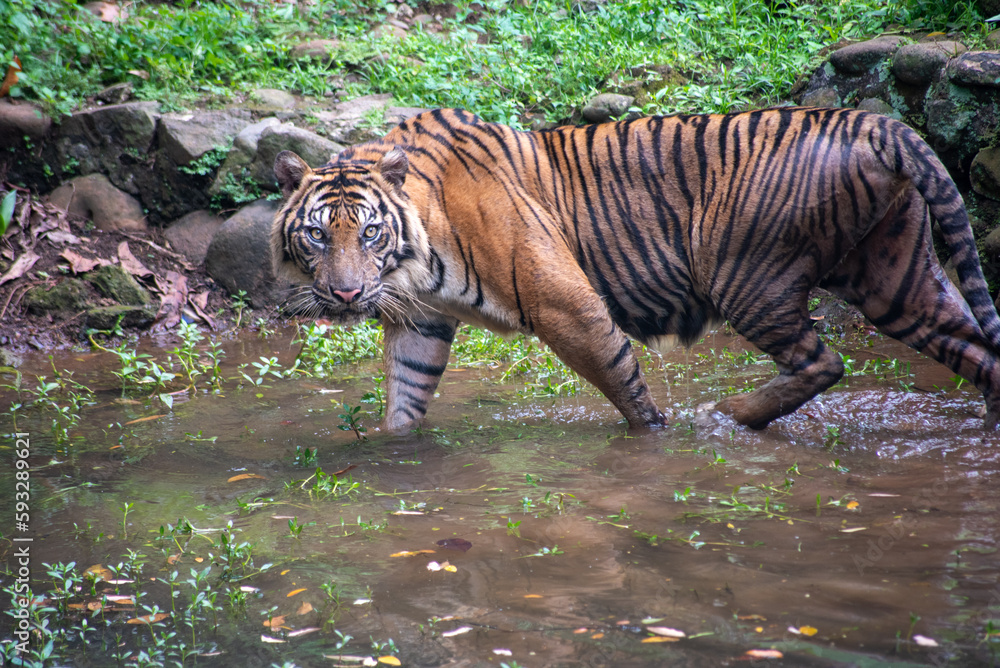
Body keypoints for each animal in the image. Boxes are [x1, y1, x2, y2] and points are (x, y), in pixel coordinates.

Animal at [271, 107, 1000, 432]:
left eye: (369, 231)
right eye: (317, 235)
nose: (346, 293)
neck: (413, 261)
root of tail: (875, 121)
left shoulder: (565, 303)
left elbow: (626, 386)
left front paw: (655, 435)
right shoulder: (421, 320)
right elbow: (405, 395)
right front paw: (389, 453)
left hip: (747, 275)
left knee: (823, 361)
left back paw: (732, 415)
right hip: (896, 277)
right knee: (977, 348)